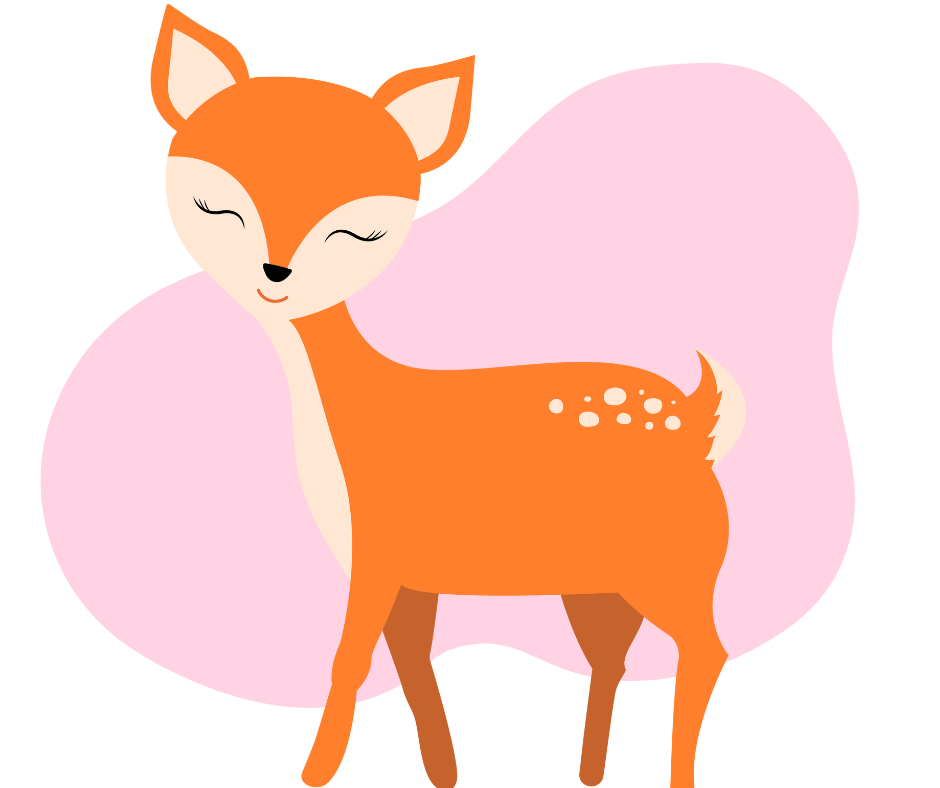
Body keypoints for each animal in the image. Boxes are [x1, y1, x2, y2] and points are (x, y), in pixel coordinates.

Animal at [150, 7, 745, 787]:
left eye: (357, 228)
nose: (276, 272)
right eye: (218, 205)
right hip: (599, 584)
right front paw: (444, 772)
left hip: (670, 566)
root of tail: (701, 427)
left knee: (706, 650)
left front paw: (315, 772)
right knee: (613, 658)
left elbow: (350, 659)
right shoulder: (410, 572)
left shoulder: (378, 548)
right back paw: (588, 772)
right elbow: (411, 667)